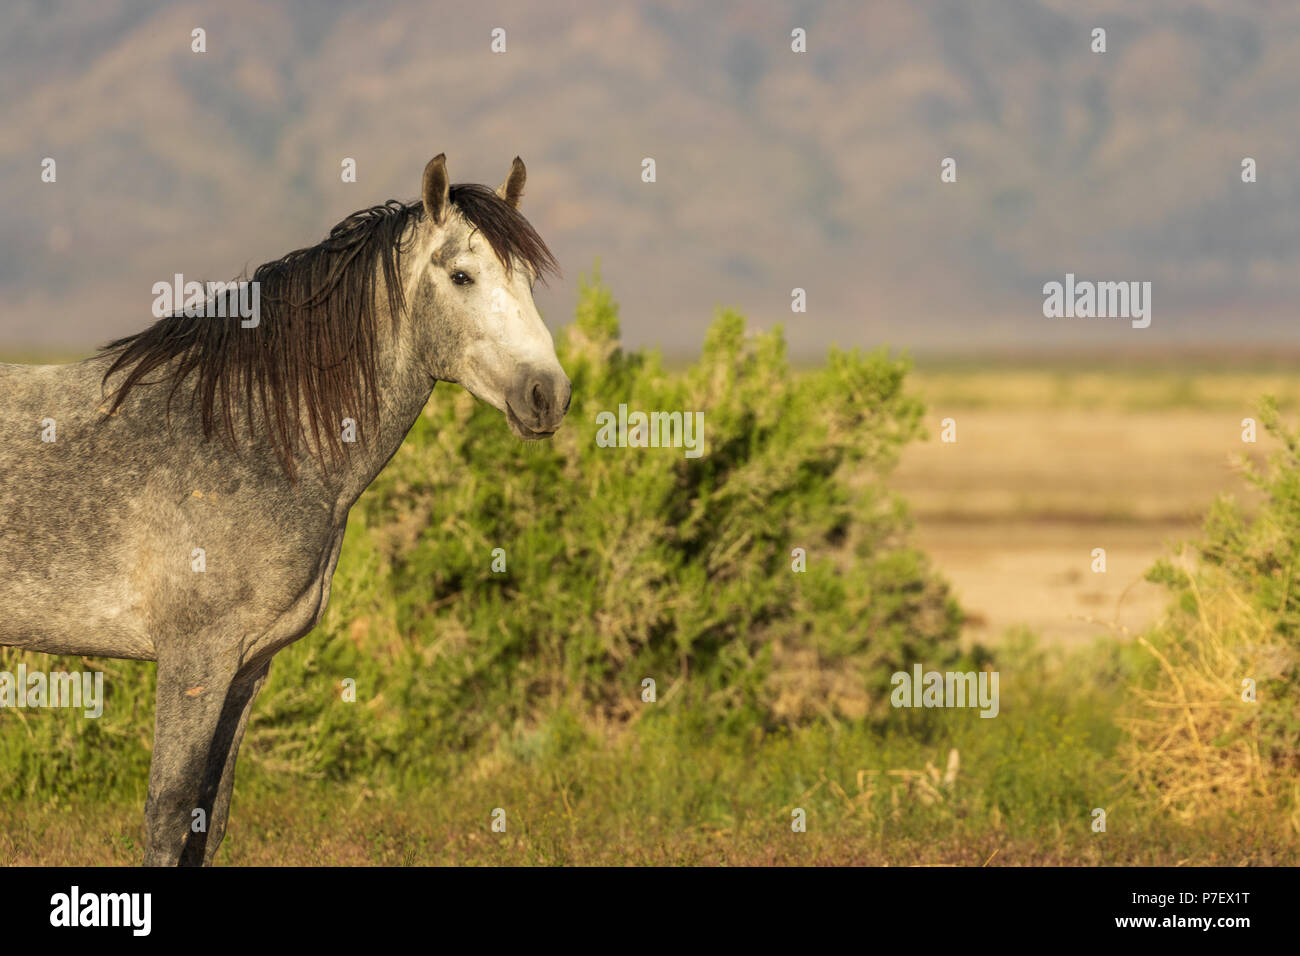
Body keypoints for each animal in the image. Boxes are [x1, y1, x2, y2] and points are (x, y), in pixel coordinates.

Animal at [0, 153, 571, 865]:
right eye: (462, 275)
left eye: (527, 281)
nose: (549, 394)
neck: (248, 436)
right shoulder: (196, 660)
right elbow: (167, 815)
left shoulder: (248, 667)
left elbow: (207, 820)